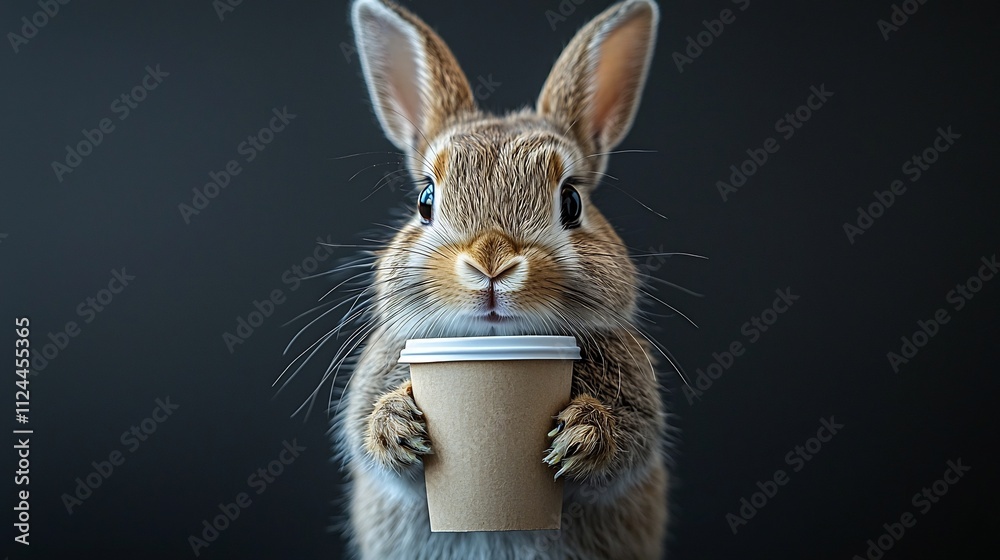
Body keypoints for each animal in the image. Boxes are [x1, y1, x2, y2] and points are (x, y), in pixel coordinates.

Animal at [339, 0, 668, 558]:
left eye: (571, 202)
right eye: (426, 200)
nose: (491, 262)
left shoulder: (637, 408)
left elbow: (626, 446)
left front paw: (581, 436)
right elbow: (372, 442)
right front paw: (396, 426)